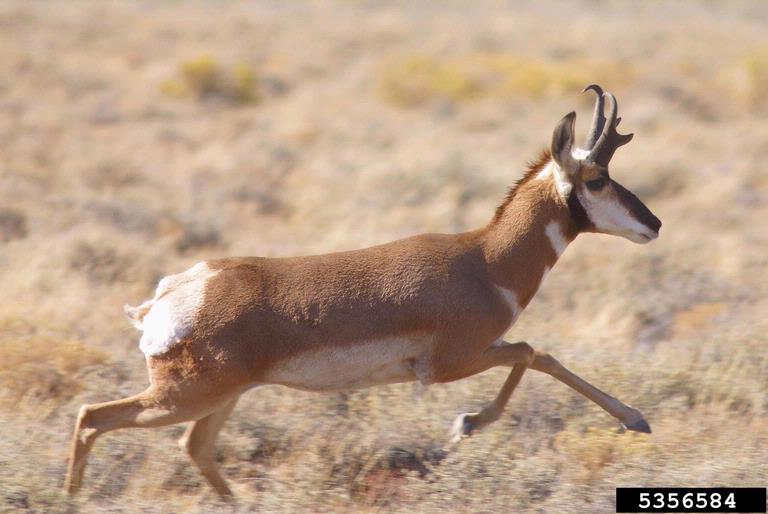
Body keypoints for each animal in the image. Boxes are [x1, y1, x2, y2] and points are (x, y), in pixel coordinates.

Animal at [65, 85, 661, 498]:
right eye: (598, 179)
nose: (653, 224)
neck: (484, 258)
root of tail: (177, 291)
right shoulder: (451, 364)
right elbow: (534, 353)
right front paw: (467, 424)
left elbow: (539, 355)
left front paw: (634, 419)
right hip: (186, 396)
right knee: (94, 417)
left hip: (219, 398)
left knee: (194, 448)